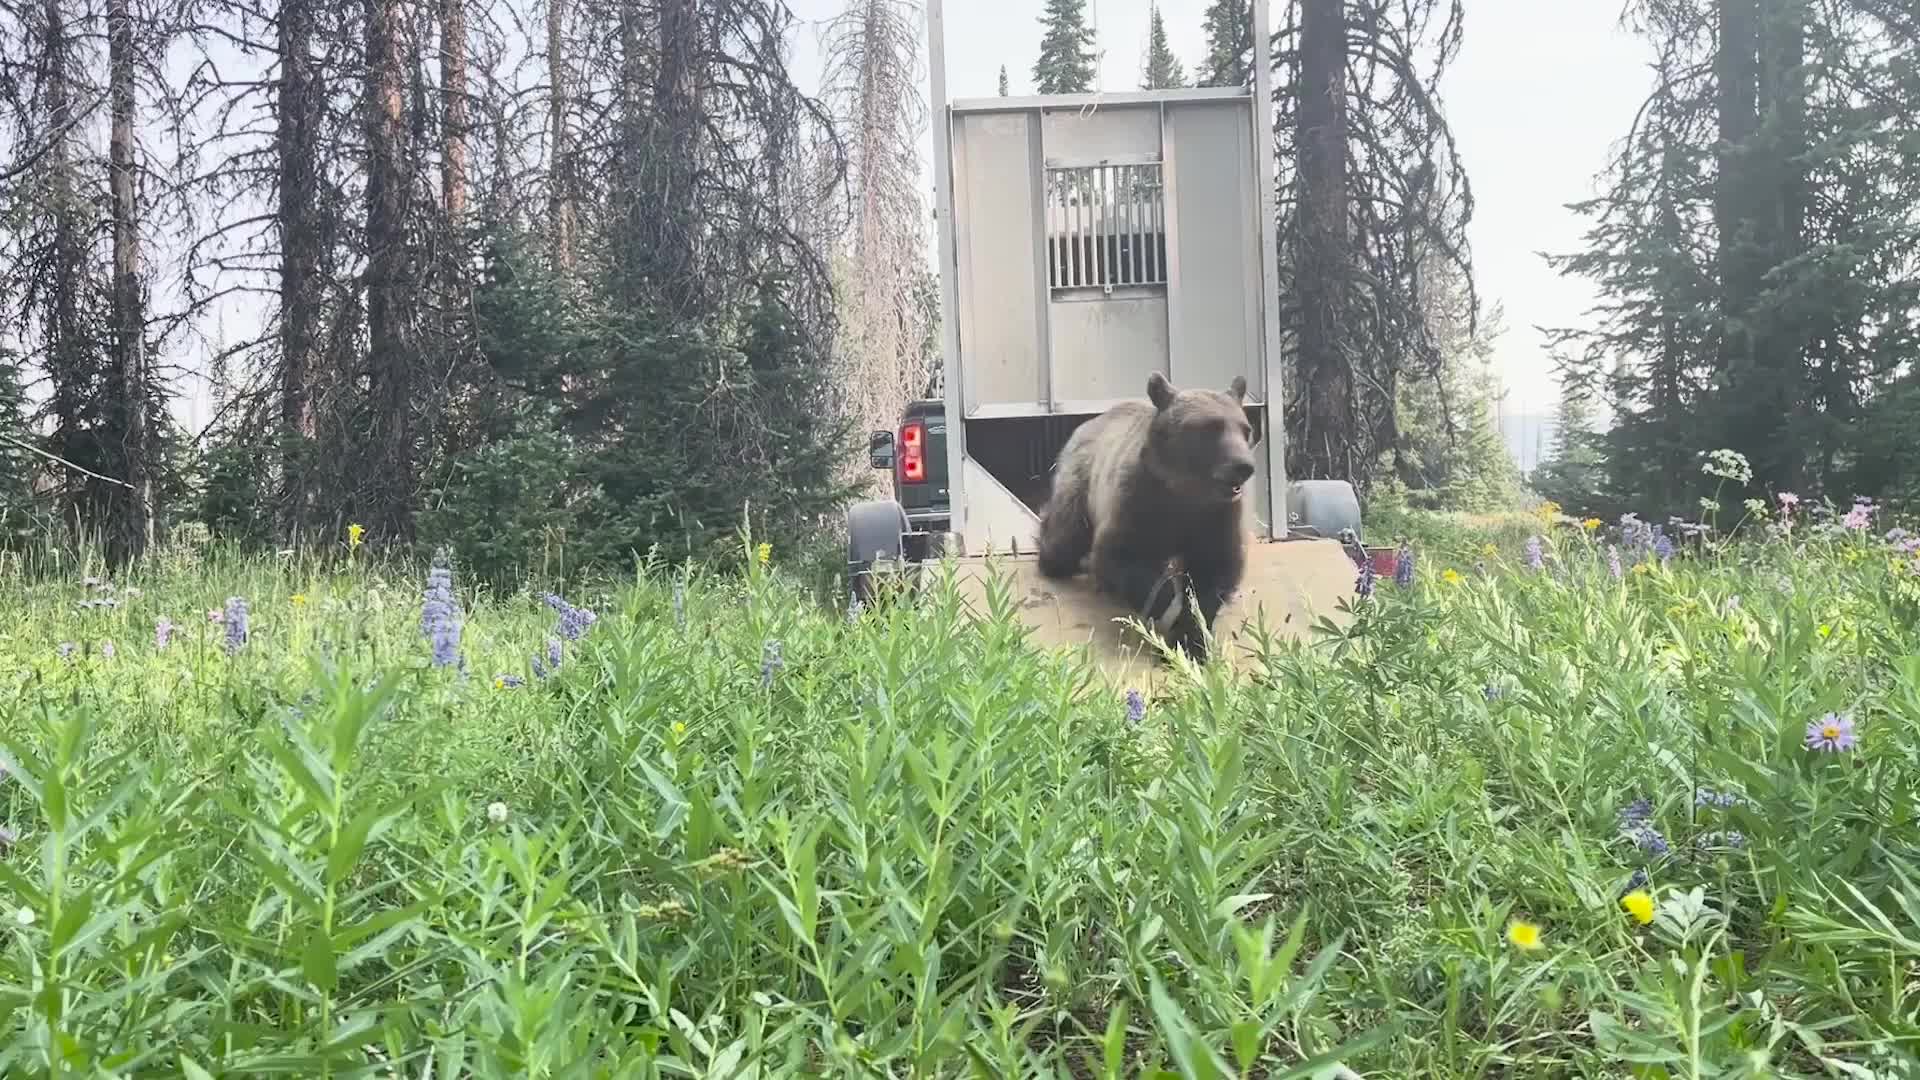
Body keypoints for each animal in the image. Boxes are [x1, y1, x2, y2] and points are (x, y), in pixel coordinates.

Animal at [1035, 371, 1259, 660]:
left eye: (1245, 429)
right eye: (1211, 427)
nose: (1244, 466)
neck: (1185, 493)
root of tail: (1092, 421)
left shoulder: (1217, 517)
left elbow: (1213, 573)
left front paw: (1192, 641)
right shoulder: (1138, 503)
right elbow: (1124, 558)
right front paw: (1167, 610)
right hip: (1081, 481)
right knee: (1063, 538)